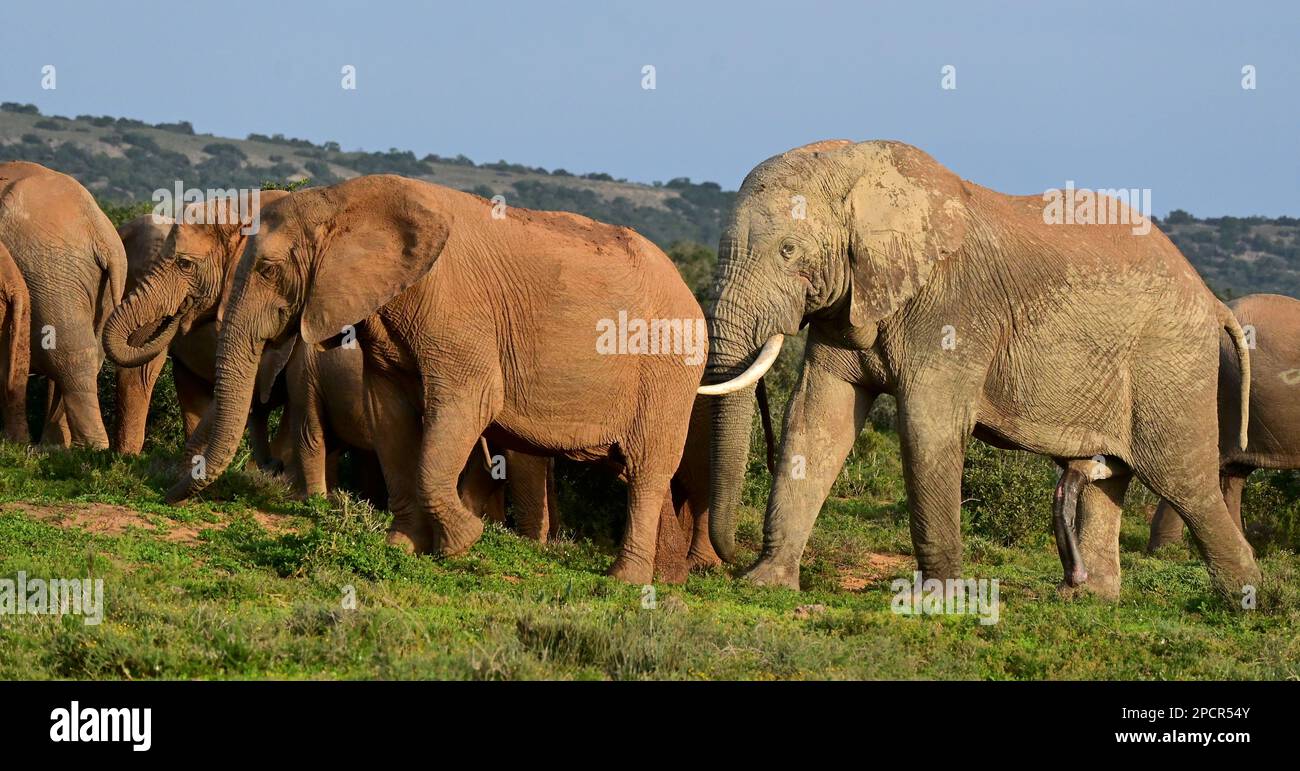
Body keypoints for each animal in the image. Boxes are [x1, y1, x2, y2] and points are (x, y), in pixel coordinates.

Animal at [0, 161, 126, 447]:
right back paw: (57, 448)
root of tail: (98, 230)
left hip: (50, 271)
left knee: (69, 356)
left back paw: (85, 448)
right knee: (82, 356)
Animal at [167, 174, 705, 584]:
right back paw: (666, 579)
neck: (347, 199)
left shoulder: (458, 314)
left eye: (268, 268)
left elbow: (468, 406)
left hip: (668, 372)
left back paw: (625, 582)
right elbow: (389, 416)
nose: (167, 492)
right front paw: (401, 545)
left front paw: (464, 542)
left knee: (647, 470)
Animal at [699, 139, 1260, 602]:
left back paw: (1247, 601)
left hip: (1171, 361)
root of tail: (1211, 298)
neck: (858, 166)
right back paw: (1087, 600)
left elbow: (927, 427)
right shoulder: (851, 303)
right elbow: (817, 418)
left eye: (788, 250)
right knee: (1113, 475)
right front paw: (765, 583)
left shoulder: (953, 309)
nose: (728, 558)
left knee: (1184, 480)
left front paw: (935, 602)